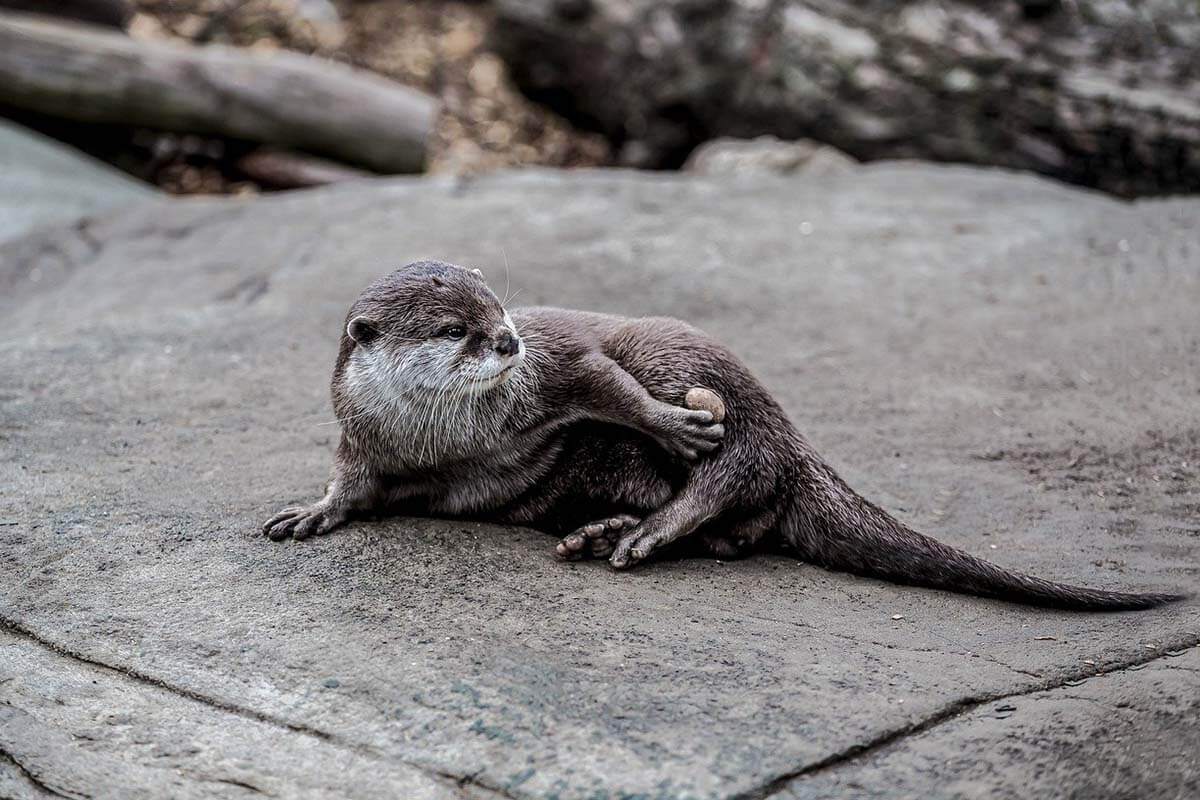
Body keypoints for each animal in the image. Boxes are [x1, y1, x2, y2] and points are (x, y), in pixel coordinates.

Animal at [264, 260, 1185, 611]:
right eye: (456, 330)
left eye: (502, 311)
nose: (507, 342)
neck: (442, 438)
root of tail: (800, 436)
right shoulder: (364, 438)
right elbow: (351, 484)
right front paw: (312, 512)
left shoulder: (557, 368)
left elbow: (600, 376)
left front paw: (671, 422)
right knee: (742, 531)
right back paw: (609, 530)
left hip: (690, 361)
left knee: (741, 465)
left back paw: (650, 524)